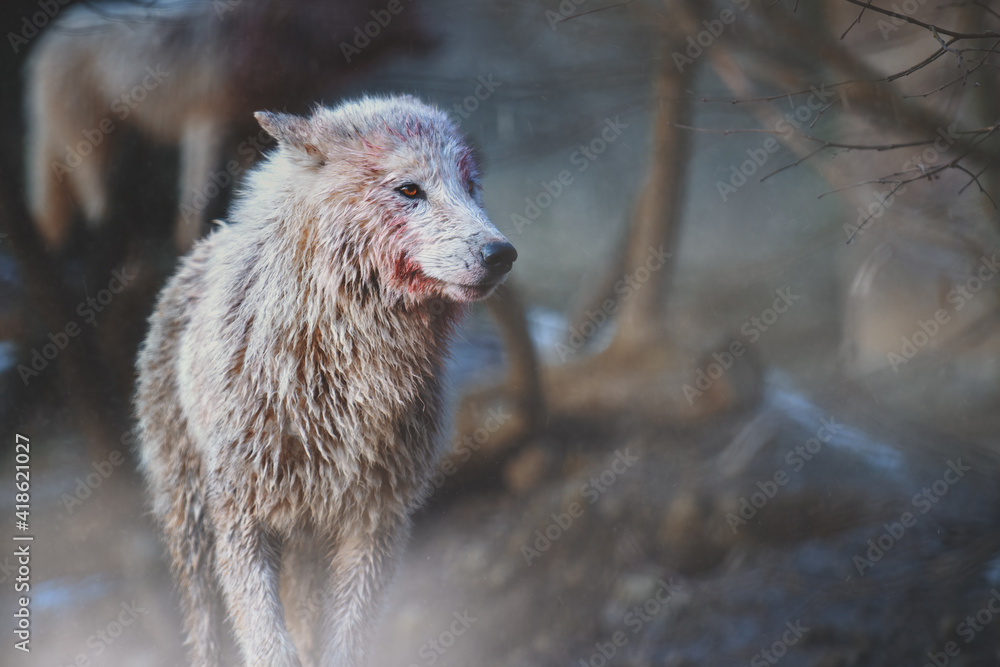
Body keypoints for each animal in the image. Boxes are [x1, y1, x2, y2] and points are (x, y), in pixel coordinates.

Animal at [134, 95, 517, 666]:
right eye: (410, 190)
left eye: (470, 187)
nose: (501, 253)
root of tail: (204, 245)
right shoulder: (242, 516)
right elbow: (265, 637)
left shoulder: (377, 521)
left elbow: (349, 638)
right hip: (196, 529)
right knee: (205, 629)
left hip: (309, 544)